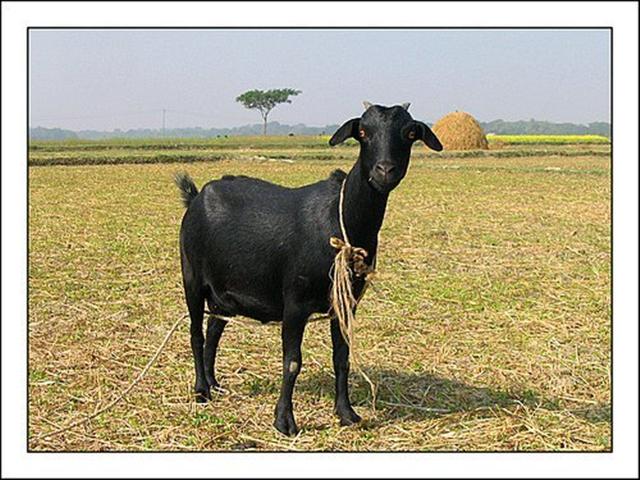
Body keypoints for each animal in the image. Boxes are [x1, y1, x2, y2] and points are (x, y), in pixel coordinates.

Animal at [175, 102, 443, 436]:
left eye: (409, 133)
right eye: (363, 131)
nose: (384, 170)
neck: (339, 221)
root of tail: (196, 196)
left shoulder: (345, 303)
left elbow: (342, 358)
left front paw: (346, 414)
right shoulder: (294, 302)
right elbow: (292, 362)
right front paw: (284, 422)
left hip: (225, 291)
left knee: (214, 329)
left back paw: (215, 383)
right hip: (192, 277)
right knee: (196, 333)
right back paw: (201, 390)